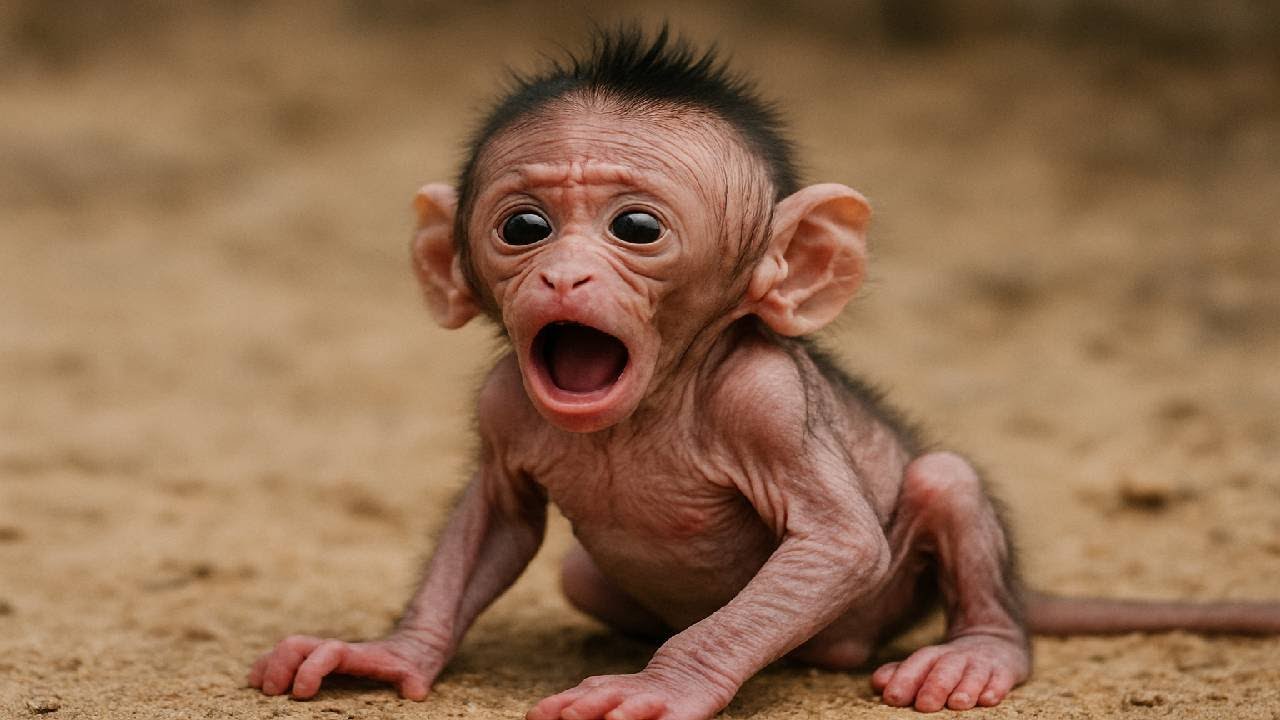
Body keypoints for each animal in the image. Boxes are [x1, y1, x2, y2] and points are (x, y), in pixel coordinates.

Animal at [248, 26, 1280, 718]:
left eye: (635, 227)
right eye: (524, 227)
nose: (561, 274)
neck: (646, 406)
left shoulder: (766, 401)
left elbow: (836, 542)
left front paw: (665, 686)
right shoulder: (506, 407)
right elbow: (491, 518)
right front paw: (389, 654)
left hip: (898, 589)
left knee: (943, 480)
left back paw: (975, 654)